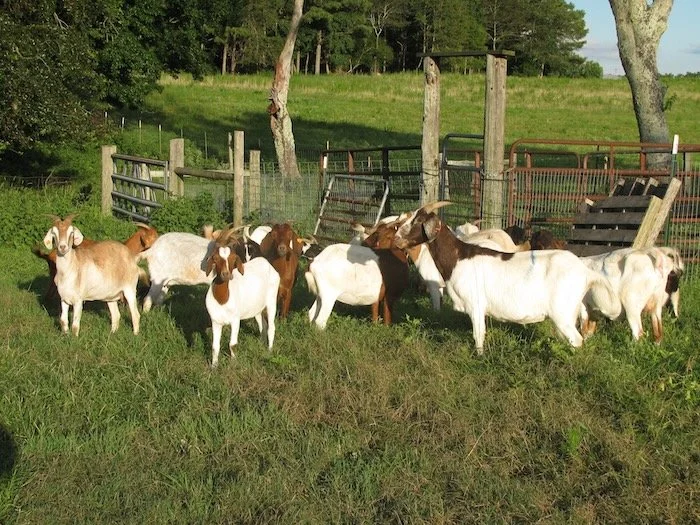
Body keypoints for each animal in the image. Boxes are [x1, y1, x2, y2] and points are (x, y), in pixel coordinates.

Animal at [204, 228, 280, 367]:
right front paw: (214, 366)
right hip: (256, 307)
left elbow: (232, 344)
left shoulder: (235, 320)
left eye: (233, 259)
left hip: (272, 299)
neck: (223, 300)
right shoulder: (215, 321)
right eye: (215, 259)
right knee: (262, 325)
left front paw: (233, 363)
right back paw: (261, 344)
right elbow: (215, 346)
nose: (226, 274)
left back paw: (269, 350)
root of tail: (265, 262)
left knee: (271, 326)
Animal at [393, 202, 621, 355]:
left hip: (562, 314)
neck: (459, 256)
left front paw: (480, 358)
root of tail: (584, 271)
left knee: (577, 341)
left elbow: (478, 336)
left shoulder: (475, 304)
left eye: (418, 221)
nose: (396, 239)